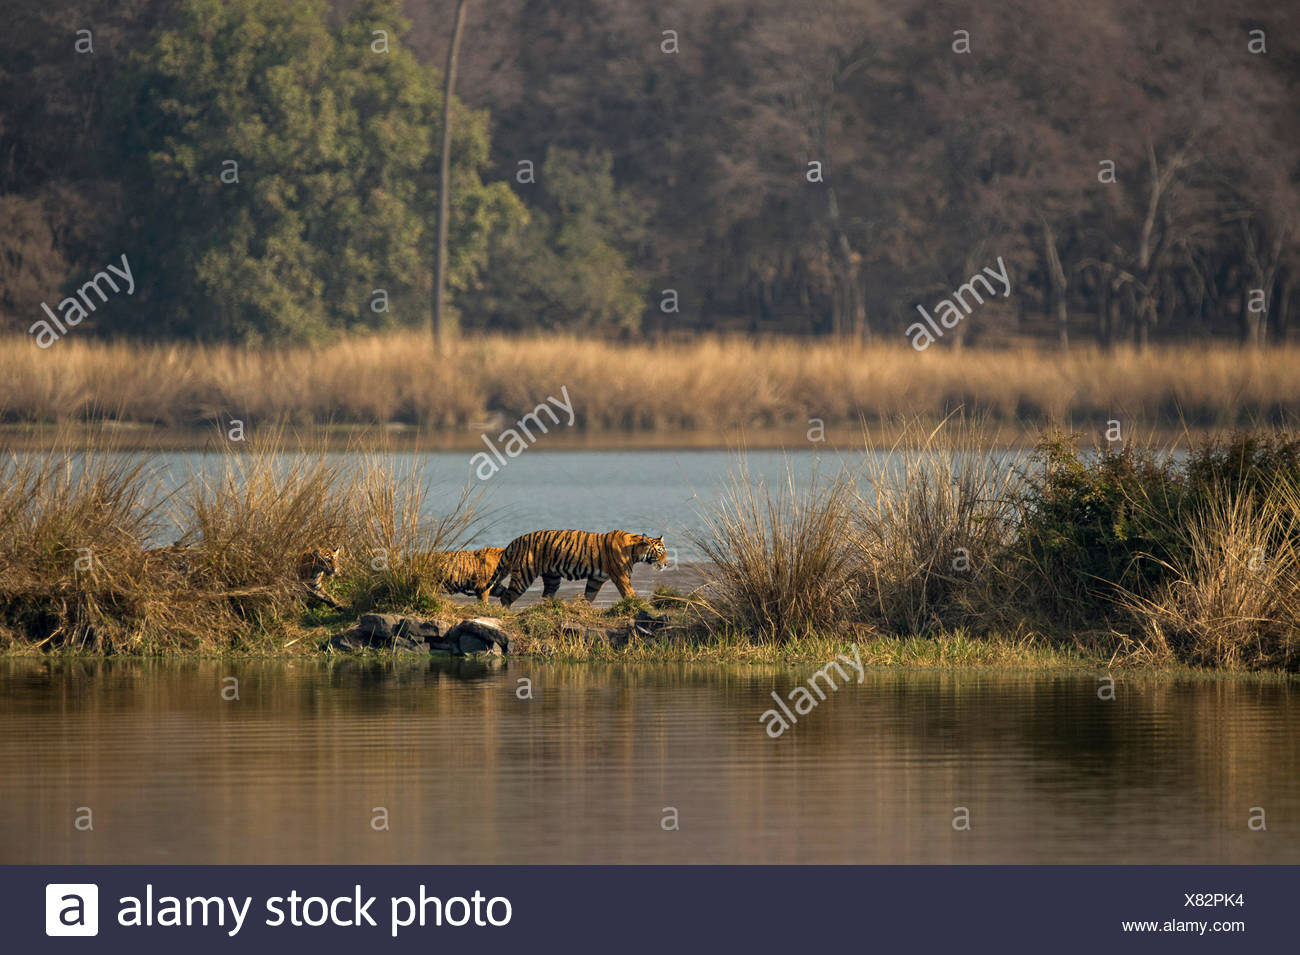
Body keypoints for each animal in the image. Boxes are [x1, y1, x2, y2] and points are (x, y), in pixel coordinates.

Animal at [493, 529, 668, 608]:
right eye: (660, 552)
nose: (667, 564)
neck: (634, 549)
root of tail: (517, 540)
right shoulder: (622, 577)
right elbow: (630, 594)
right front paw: (642, 606)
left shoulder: (596, 579)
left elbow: (589, 595)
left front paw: (583, 607)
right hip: (524, 574)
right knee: (506, 597)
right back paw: (505, 613)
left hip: (552, 577)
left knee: (546, 595)